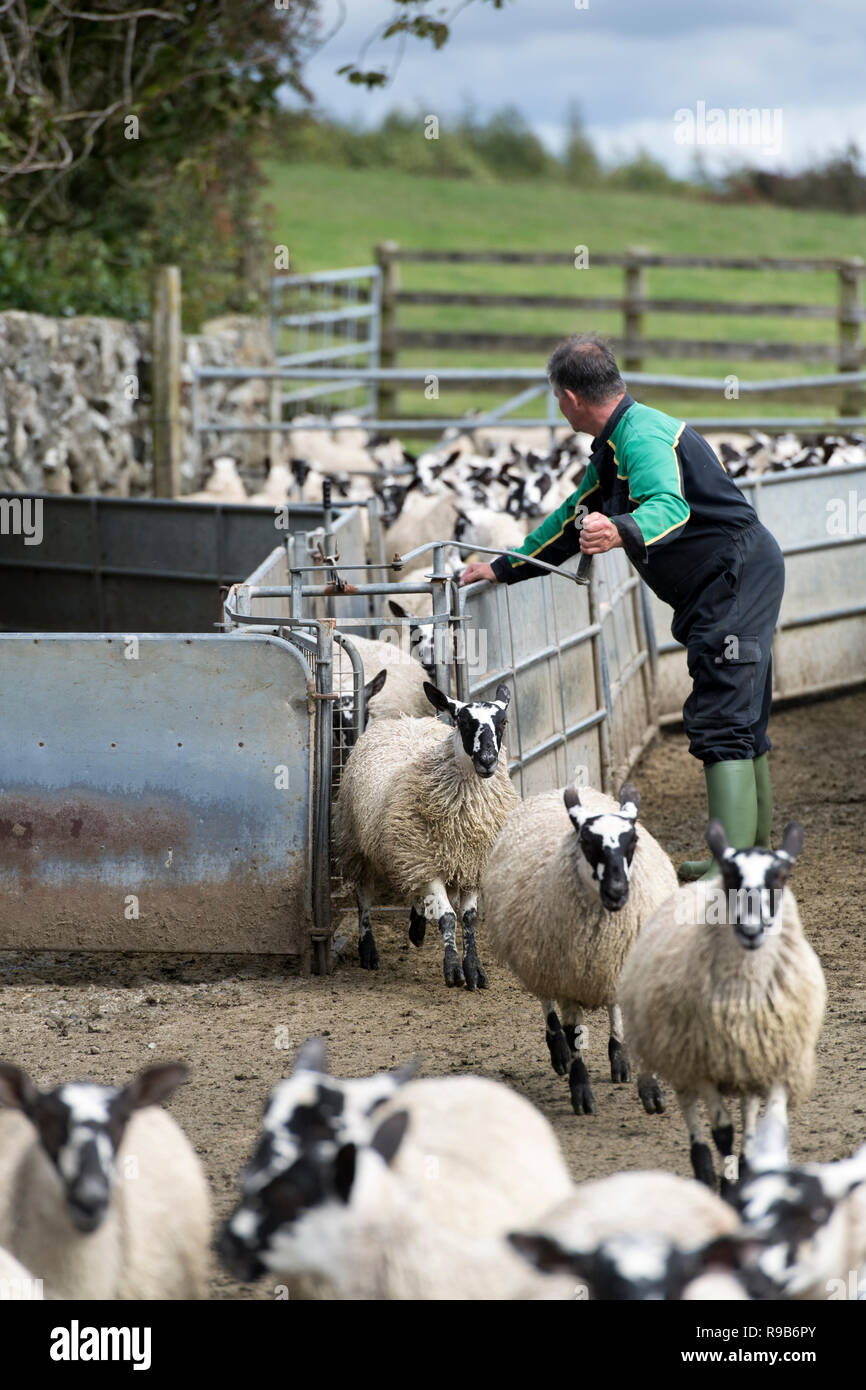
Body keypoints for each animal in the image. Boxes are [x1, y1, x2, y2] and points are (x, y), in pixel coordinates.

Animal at [333, 682, 519, 987]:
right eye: (463, 722)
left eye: (502, 722)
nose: (488, 760)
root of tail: (404, 719)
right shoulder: (428, 863)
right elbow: (448, 918)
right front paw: (453, 970)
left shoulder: (472, 863)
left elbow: (469, 918)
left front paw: (474, 970)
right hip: (358, 844)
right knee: (363, 897)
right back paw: (368, 950)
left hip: (408, 852)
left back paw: (417, 928)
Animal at [483, 780, 677, 1115]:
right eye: (587, 842)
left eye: (633, 840)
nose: (616, 891)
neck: (602, 935)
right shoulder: (566, 981)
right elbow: (574, 1035)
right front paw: (581, 1091)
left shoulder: (623, 965)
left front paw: (649, 1088)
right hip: (538, 957)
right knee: (547, 1003)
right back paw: (557, 1049)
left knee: (613, 1009)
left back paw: (618, 1057)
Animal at [619, 820, 826, 1192]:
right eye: (730, 875)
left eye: (780, 876)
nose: (751, 929)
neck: (744, 998)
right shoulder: (701, 1066)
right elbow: (722, 1131)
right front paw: (725, 1179)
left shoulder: (768, 1060)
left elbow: (762, 1128)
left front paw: (747, 1172)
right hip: (677, 1053)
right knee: (690, 1110)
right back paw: (702, 1166)